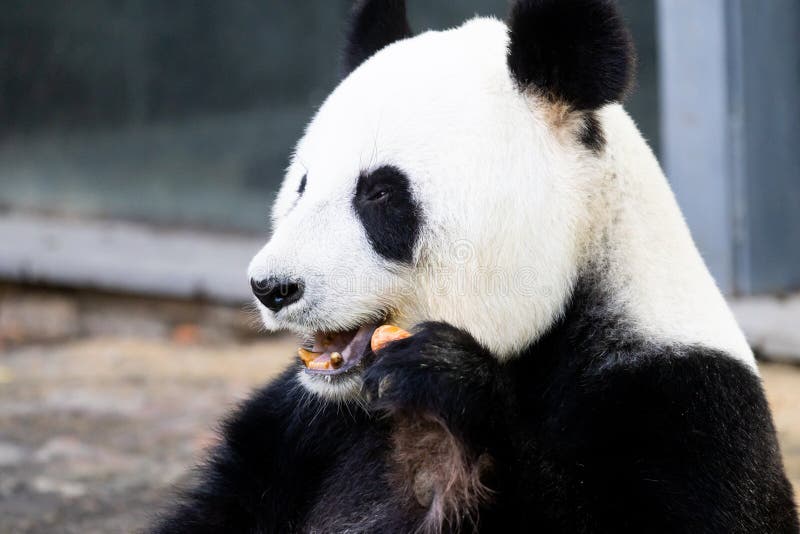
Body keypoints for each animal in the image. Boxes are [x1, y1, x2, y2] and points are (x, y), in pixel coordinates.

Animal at [154, 0, 799, 532]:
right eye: (302, 186)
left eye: (380, 193)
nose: (272, 287)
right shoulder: (299, 428)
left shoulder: (686, 402)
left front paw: (447, 375)